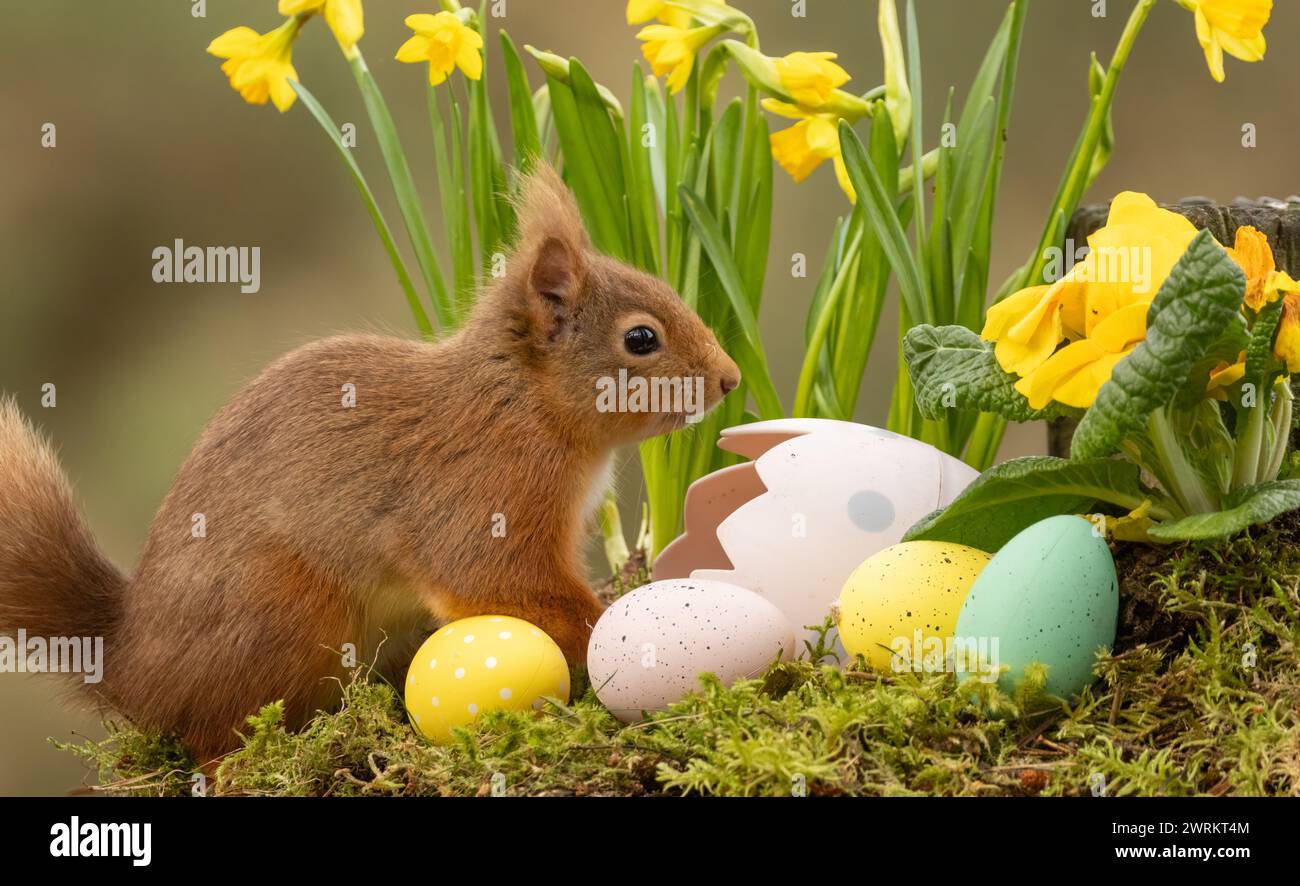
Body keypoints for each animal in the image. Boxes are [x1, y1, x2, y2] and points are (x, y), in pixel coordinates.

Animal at [0, 166, 740, 763]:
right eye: (641, 338)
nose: (730, 380)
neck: (526, 406)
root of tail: (131, 667)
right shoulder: (484, 497)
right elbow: (494, 577)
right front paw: (603, 630)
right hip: (284, 616)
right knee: (213, 737)